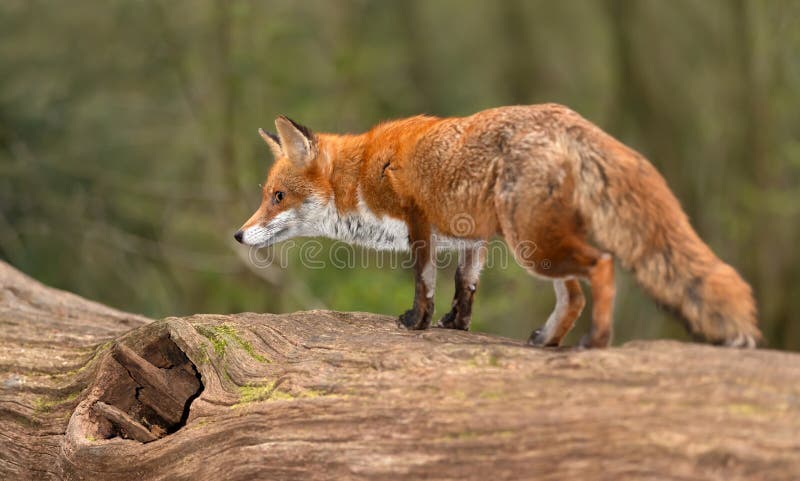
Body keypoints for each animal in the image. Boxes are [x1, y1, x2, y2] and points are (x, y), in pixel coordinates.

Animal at [234, 104, 761, 349]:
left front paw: (418, 323)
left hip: (532, 246)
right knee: (574, 295)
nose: (238, 235)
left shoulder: (419, 223)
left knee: (602, 267)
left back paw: (594, 343)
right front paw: (457, 326)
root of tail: (568, 118)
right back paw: (548, 340)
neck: (362, 173)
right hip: (536, 241)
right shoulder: (474, 237)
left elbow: (424, 282)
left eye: (277, 197)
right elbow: (465, 286)